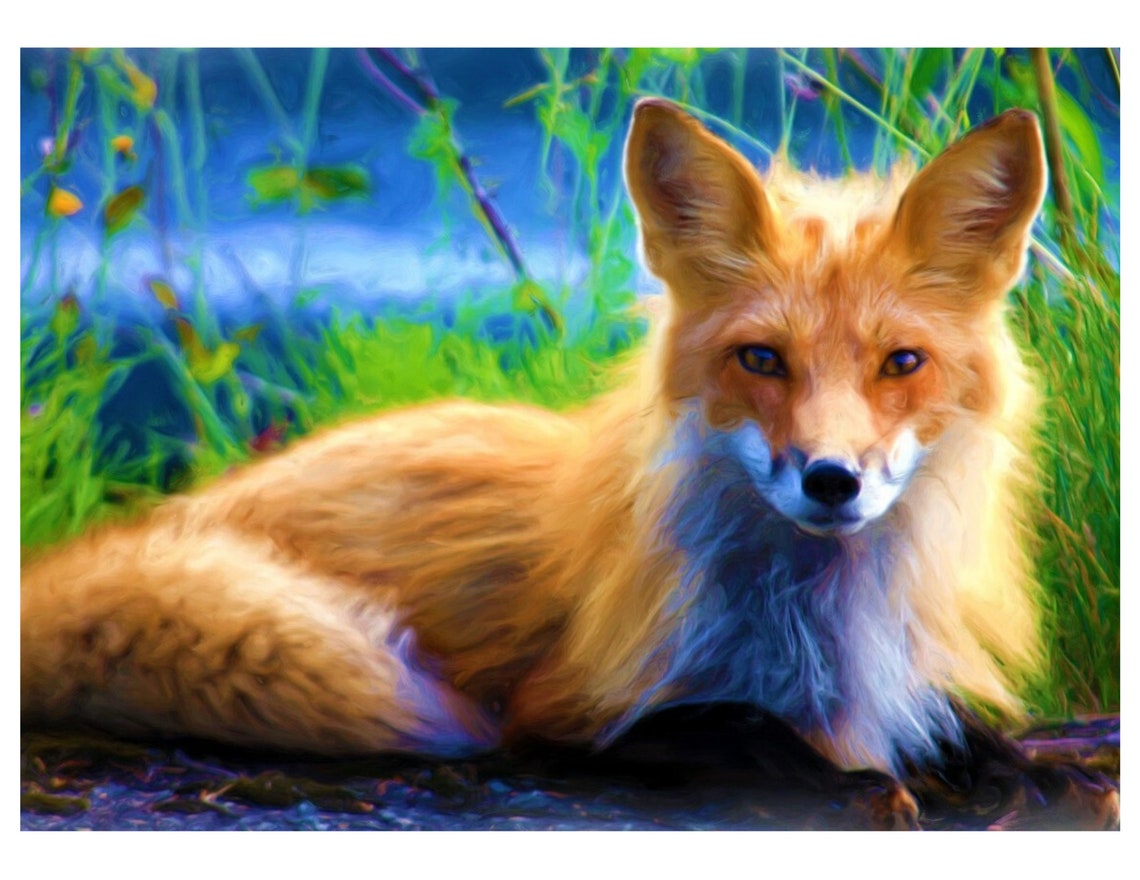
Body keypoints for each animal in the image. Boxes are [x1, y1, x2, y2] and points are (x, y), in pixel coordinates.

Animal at [21, 98, 1119, 829]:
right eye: (762, 359)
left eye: (902, 364)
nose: (832, 480)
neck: (822, 625)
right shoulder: (565, 710)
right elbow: (735, 728)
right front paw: (855, 781)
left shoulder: (909, 672)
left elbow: (960, 726)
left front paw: (1027, 772)